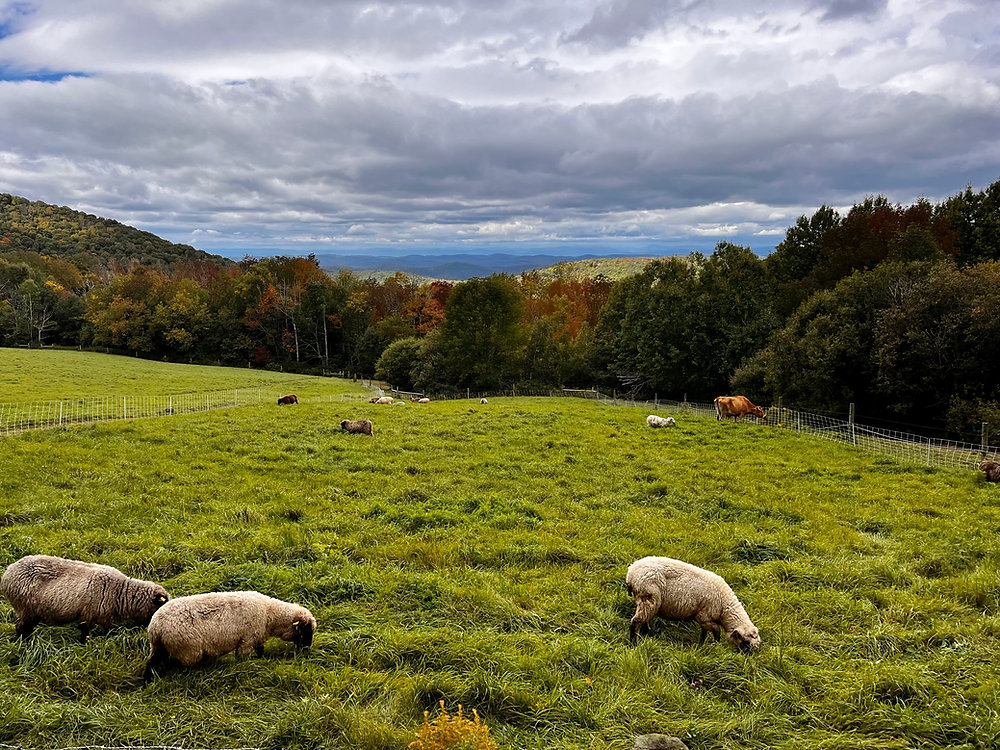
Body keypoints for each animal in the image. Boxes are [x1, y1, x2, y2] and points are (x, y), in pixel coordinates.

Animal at [0, 554, 170, 642]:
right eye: (160, 607)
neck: (121, 592)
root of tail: (8, 572)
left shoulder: (105, 617)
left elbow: (108, 631)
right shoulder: (87, 615)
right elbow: (84, 633)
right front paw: (84, 645)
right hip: (25, 609)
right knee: (21, 627)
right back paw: (24, 643)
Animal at [143, 591, 316, 679]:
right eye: (305, 631)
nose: (307, 648)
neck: (270, 614)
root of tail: (155, 627)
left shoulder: (256, 637)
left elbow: (260, 650)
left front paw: (261, 659)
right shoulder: (247, 640)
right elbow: (242, 657)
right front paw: (243, 667)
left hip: (159, 647)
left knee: (151, 663)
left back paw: (148, 680)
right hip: (187, 649)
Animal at [626, 556, 761, 652]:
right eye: (746, 643)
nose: (746, 658)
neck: (724, 608)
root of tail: (631, 572)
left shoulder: (705, 620)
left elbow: (704, 633)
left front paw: (701, 645)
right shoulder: (704, 617)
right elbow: (716, 632)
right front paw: (715, 646)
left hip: (648, 602)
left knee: (643, 619)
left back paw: (647, 633)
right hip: (648, 598)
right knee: (635, 622)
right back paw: (633, 644)